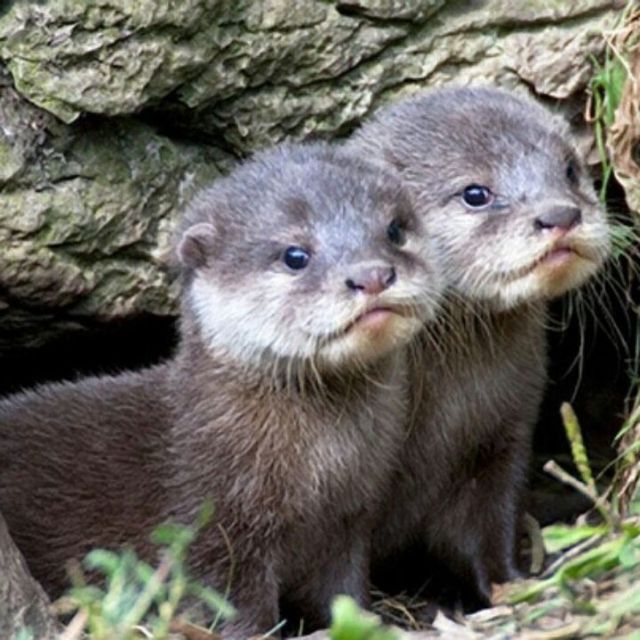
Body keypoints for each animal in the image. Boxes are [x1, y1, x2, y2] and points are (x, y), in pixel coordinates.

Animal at [0, 143, 443, 638]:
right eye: (295, 255)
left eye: (395, 229)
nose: (371, 275)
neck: (320, 475)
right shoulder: (210, 527)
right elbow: (232, 607)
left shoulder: (349, 521)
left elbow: (342, 591)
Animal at [346, 87, 611, 606]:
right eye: (475, 194)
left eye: (570, 169)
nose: (561, 215)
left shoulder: (500, 439)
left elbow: (485, 529)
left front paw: (512, 583)